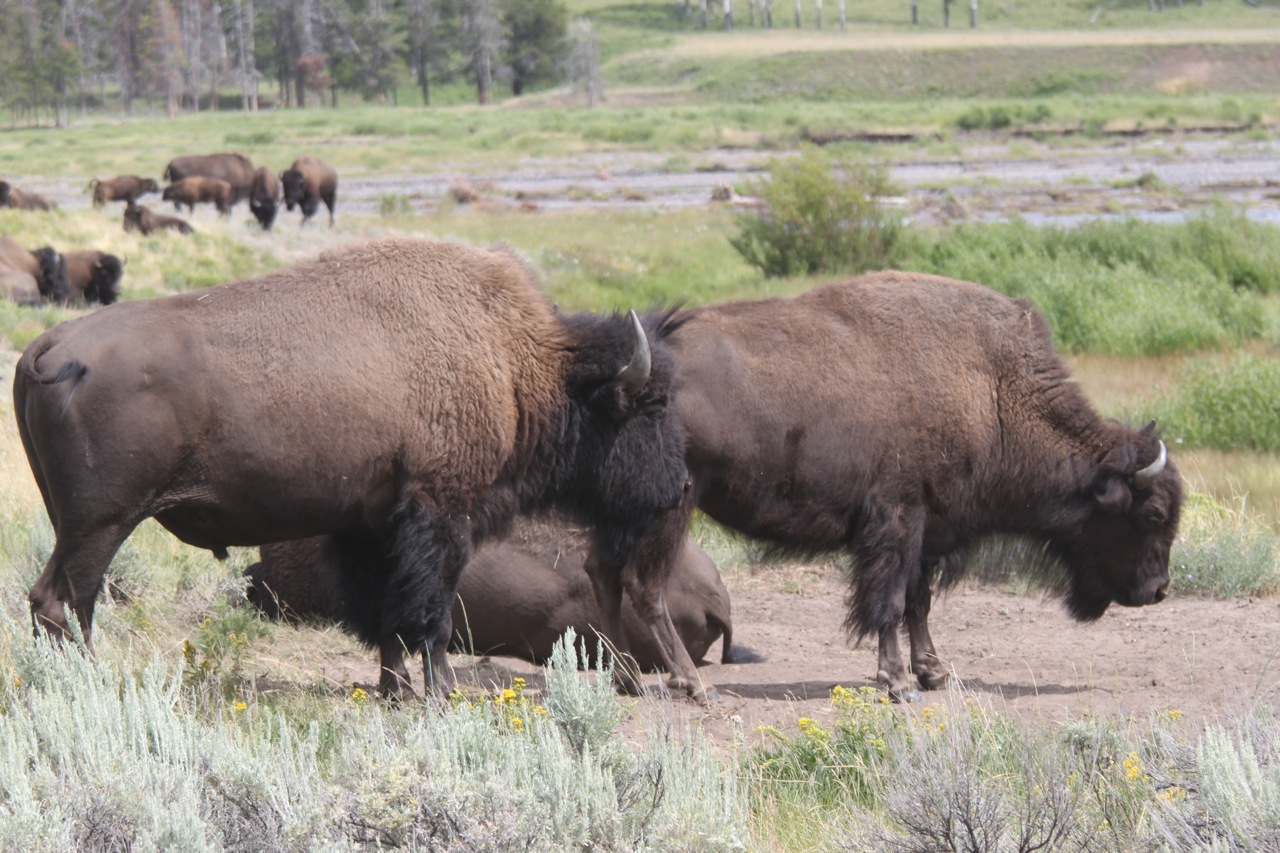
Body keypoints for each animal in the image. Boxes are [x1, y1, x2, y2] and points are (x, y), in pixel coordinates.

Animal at [15, 238, 689, 699]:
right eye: (651, 407)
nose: (678, 486)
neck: (515, 362)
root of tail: (45, 347)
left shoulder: (372, 525)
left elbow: (384, 611)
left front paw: (396, 690)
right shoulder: (442, 516)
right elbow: (432, 613)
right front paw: (442, 693)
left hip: (76, 523)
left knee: (55, 602)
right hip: (102, 524)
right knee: (65, 601)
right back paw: (89, 685)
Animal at [632, 271, 1183, 702]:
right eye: (1151, 515)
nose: (1158, 590)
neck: (992, 391)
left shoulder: (930, 530)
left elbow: (920, 601)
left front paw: (933, 672)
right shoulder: (897, 520)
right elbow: (891, 602)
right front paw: (897, 682)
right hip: (673, 505)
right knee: (646, 586)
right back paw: (692, 684)